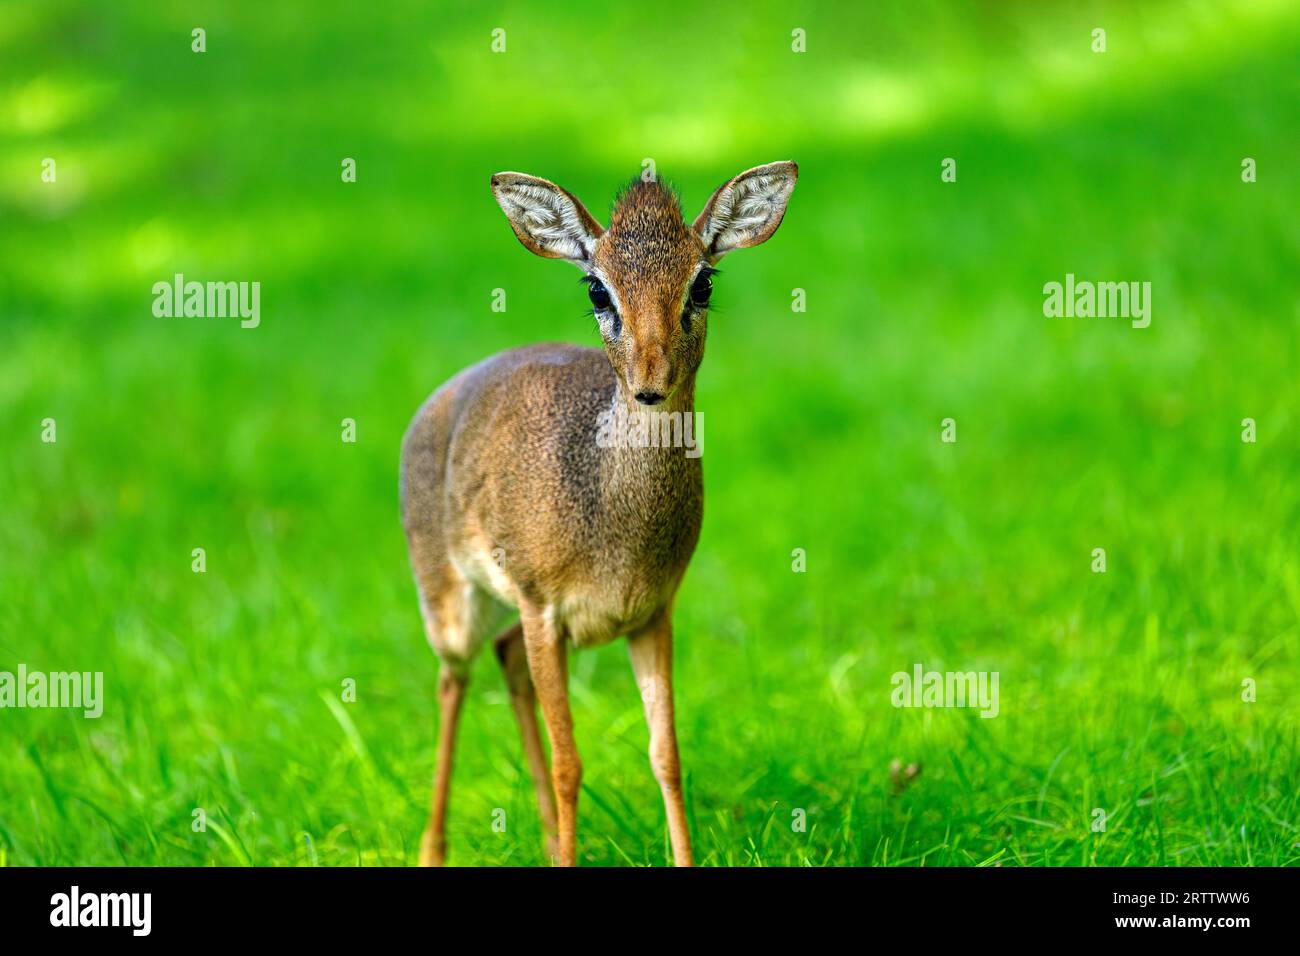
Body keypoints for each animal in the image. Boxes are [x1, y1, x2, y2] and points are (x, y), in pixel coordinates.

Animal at [399, 161, 798, 866]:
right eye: (596, 288)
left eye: (703, 280)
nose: (651, 382)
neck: (615, 534)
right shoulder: (542, 604)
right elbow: (571, 763)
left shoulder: (654, 610)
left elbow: (666, 755)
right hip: (449, 597)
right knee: (453, 679)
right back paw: (434, 849)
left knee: (503, 660)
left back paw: (542, 834)